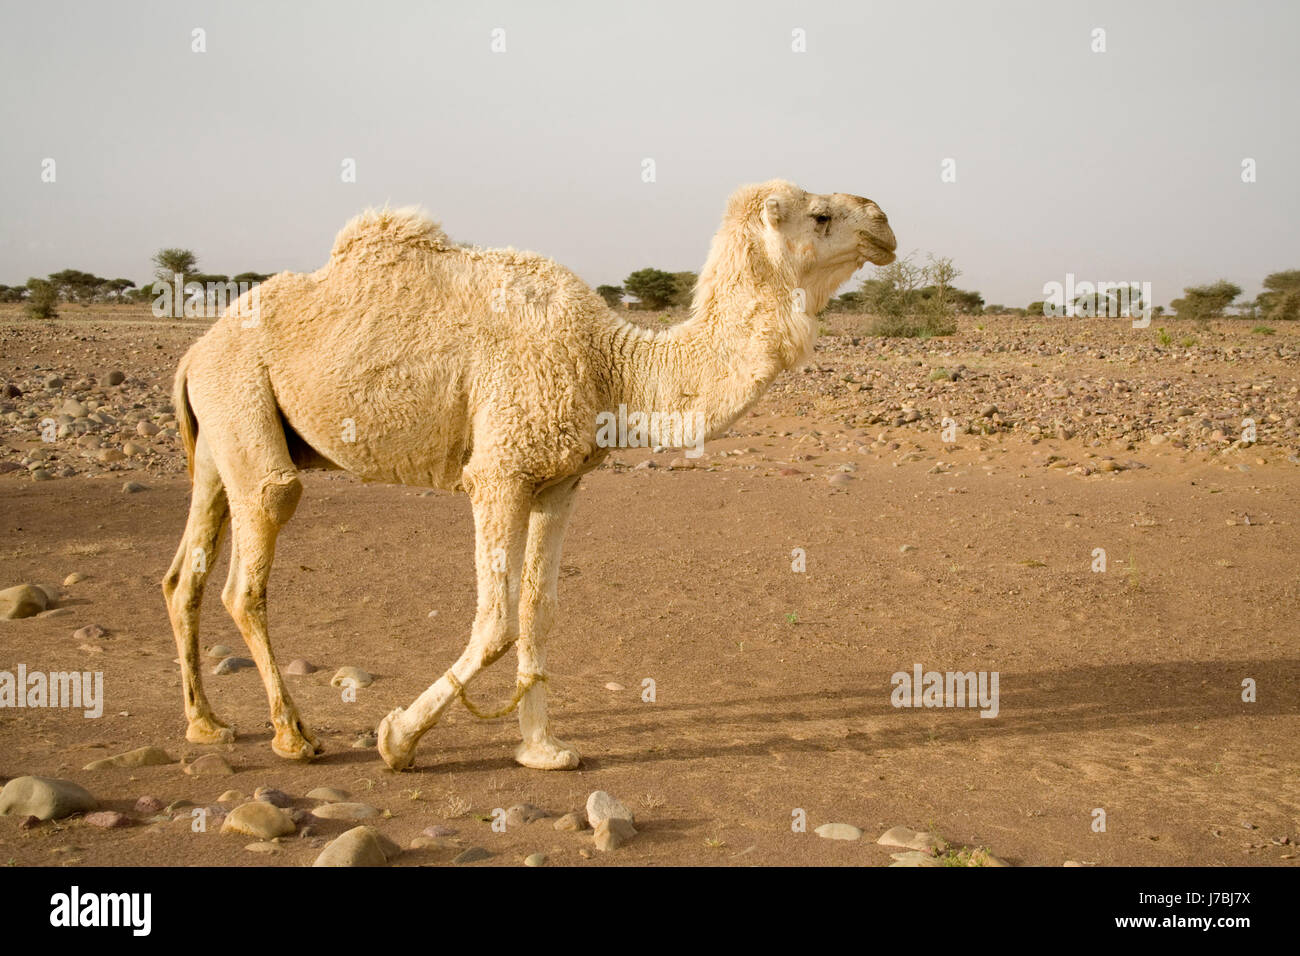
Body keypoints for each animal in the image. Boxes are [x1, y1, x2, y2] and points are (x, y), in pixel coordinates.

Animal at [161, 180, 896, 770]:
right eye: (821, 215)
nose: (885, 222)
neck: (612, 362)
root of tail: (195, 351)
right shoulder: (498, 471)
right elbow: (495, 622)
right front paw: (397, 738)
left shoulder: (559, 481)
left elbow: (539, 611)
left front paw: (543, 750)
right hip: (243, 400)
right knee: (253, 553)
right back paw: (294, 736)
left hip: (220, 432)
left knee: (184, 574)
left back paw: (207, 723)